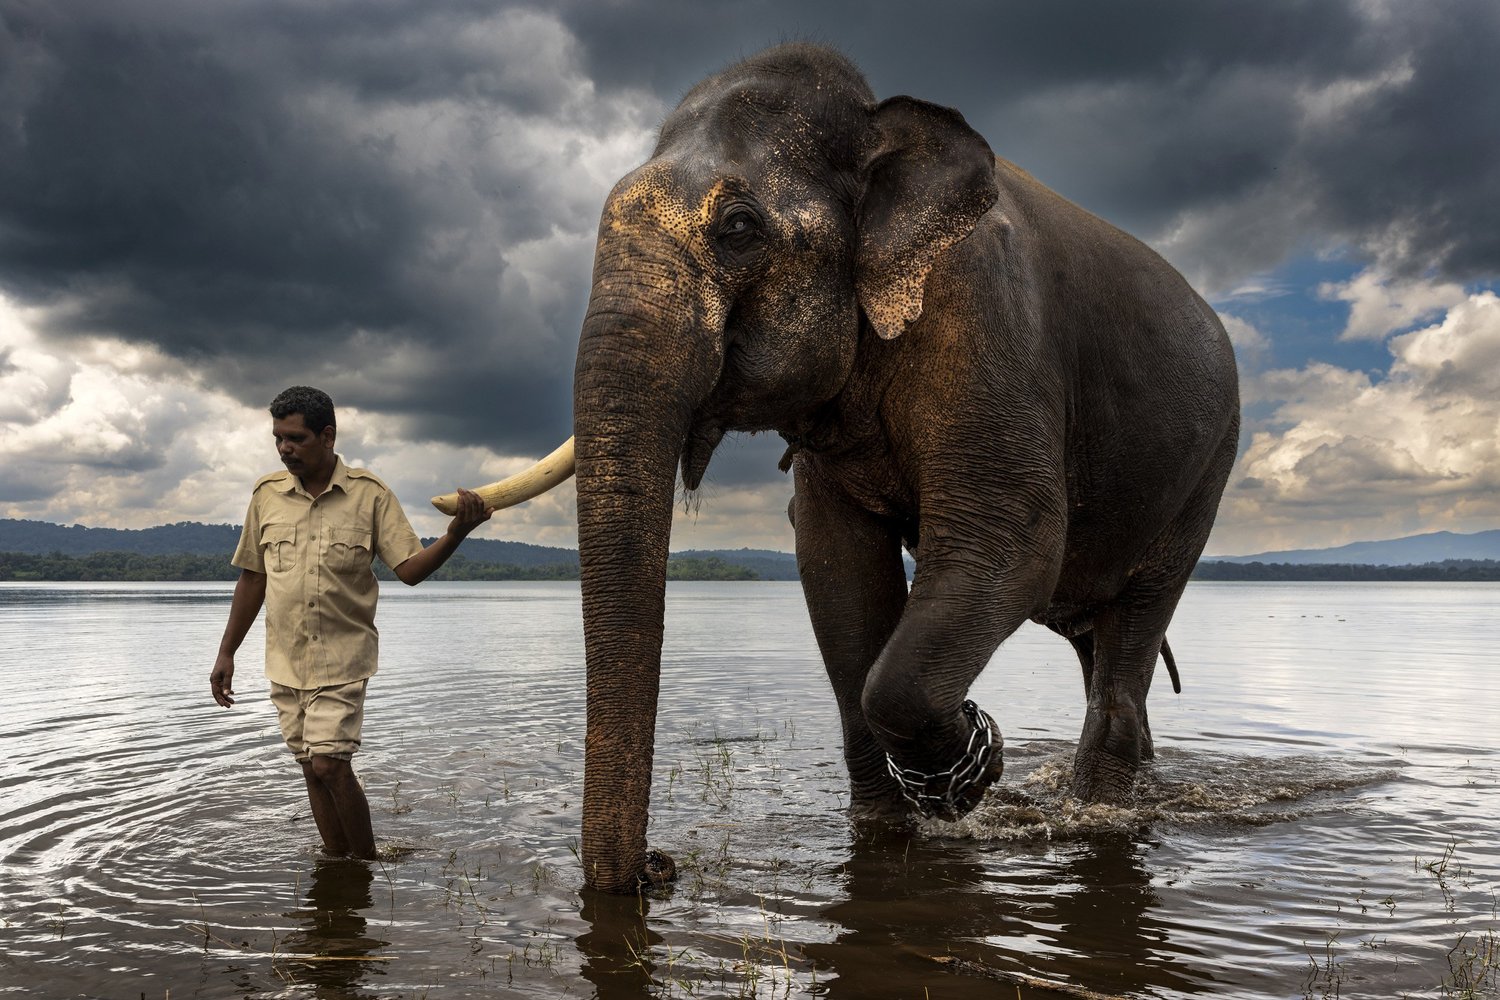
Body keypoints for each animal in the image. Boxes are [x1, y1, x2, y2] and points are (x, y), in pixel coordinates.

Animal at [434, 43, 1239, 894]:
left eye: (740, 228)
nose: (660, 868)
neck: (876, 124)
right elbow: (835, 563)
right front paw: (898, 820)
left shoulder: (988, 321)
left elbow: (1010, 540)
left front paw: (976, 765)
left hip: (1209, 465)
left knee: (1134, 627)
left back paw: (1099, 812)